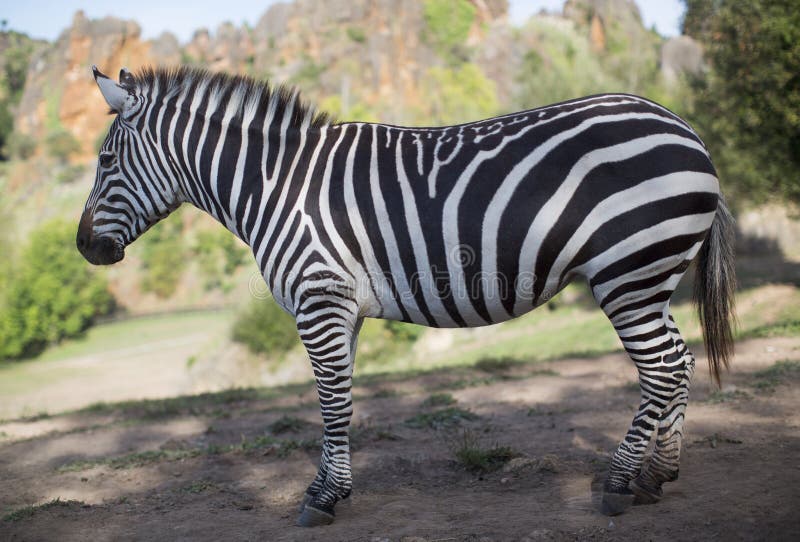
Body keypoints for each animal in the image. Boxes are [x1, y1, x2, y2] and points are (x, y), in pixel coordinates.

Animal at [77, 65, 735, 527]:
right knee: (680, 361)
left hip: (628, 271)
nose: (84, 248)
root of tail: (686, 128)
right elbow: (342, 400)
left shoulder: (319, 299)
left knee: (661, 367)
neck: (276, 186)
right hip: (651, 276)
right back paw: (656, 477)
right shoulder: (343, 309)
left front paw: (322, 498)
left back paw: (621, 484)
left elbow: (331, 402)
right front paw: (334, 487)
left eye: (106, 161)